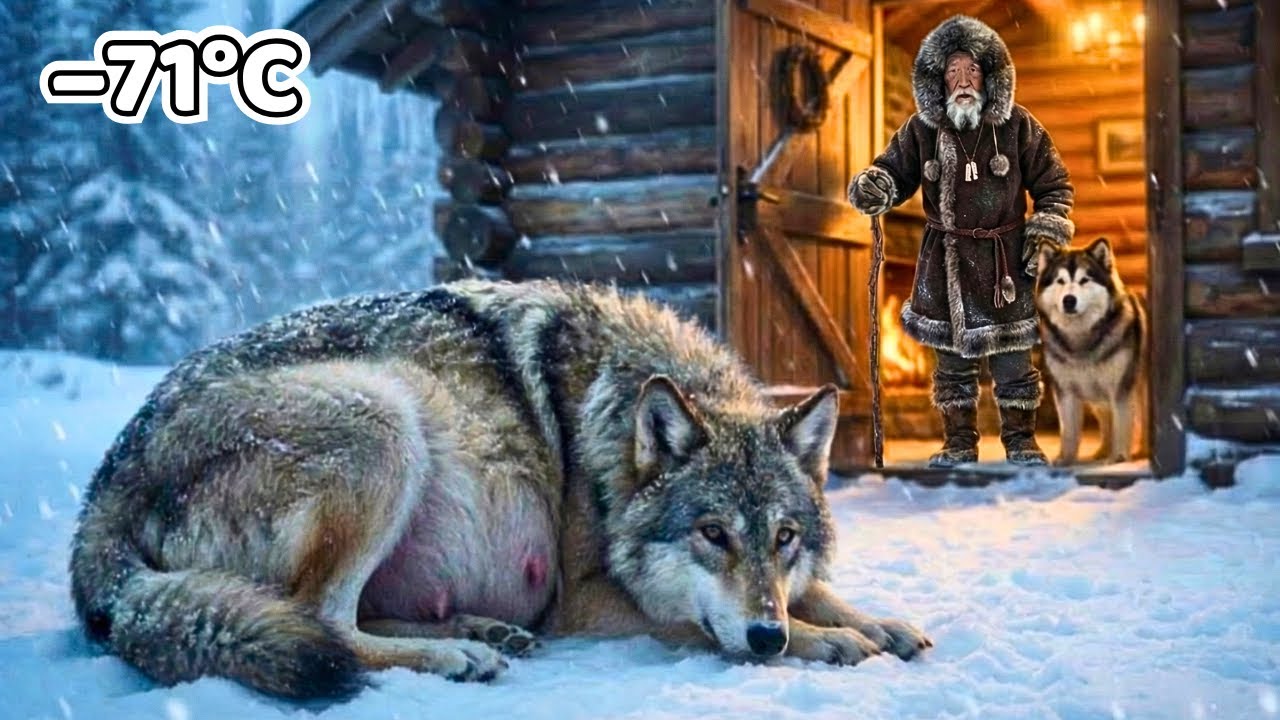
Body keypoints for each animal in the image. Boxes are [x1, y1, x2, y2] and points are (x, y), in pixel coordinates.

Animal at [70, 279, 932, 700]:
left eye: (783, 537)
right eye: (711, 534)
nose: (766, 637)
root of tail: (104, 489)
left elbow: (820, 592)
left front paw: (877, 623)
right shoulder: (585, 601)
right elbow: (692, 622)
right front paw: (826, 641)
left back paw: (484, 631)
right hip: (381, 417)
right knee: (322, 621)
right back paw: (458, 655)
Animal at [1034, 238, 1147, 465]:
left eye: (1084, 280)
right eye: (1060, 281)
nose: (1069, 300)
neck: (1081, 338)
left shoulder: (1121, 388)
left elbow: (1122, 423)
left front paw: (1119, 457)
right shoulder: (1065, 390)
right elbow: (1068, 431)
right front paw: (1065, 459)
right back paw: (1103, 451)